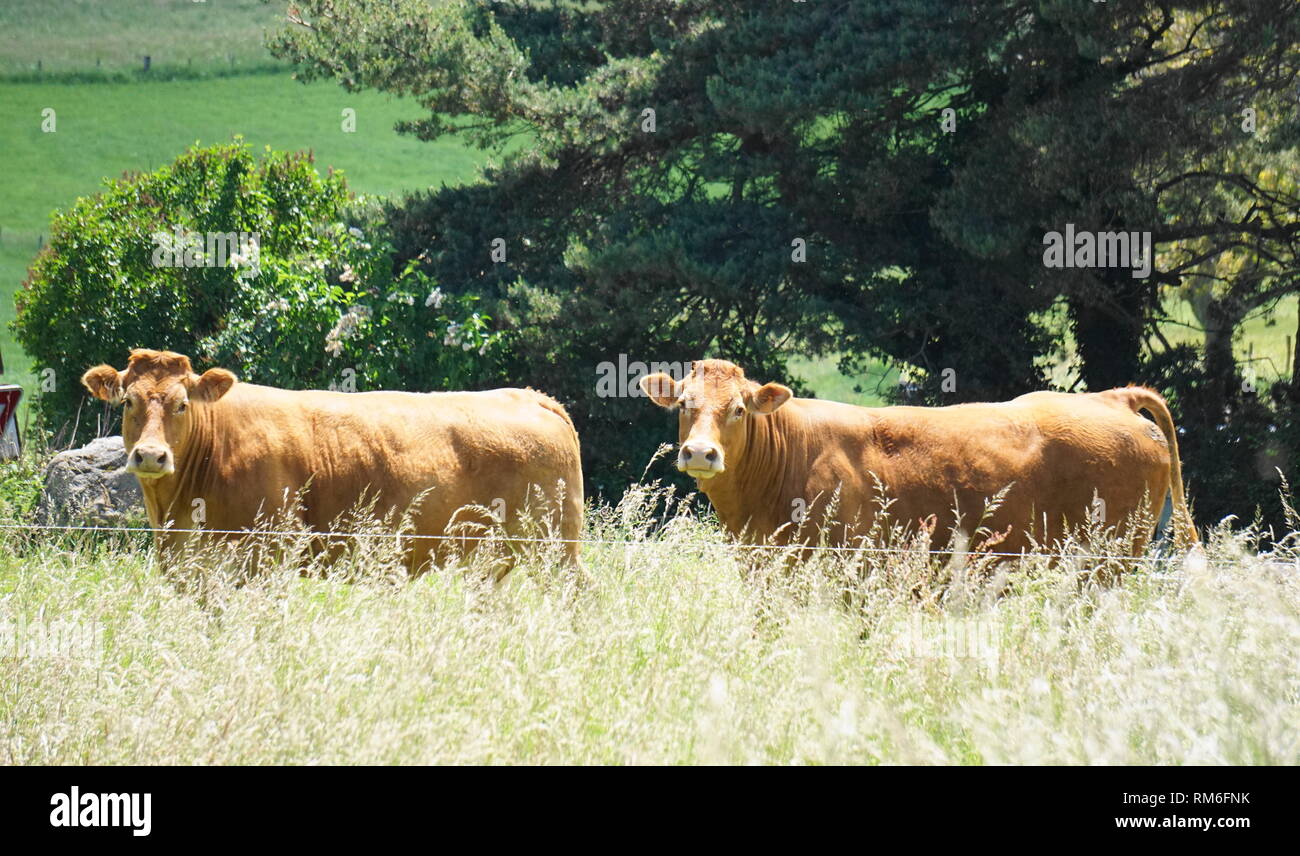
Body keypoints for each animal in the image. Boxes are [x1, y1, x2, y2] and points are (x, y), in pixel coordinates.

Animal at [81, 349, 583, 576]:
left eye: (182, 404)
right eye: (128, 401)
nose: (151, 455)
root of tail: (530, 396)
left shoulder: (266, 556)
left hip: (556, 547)